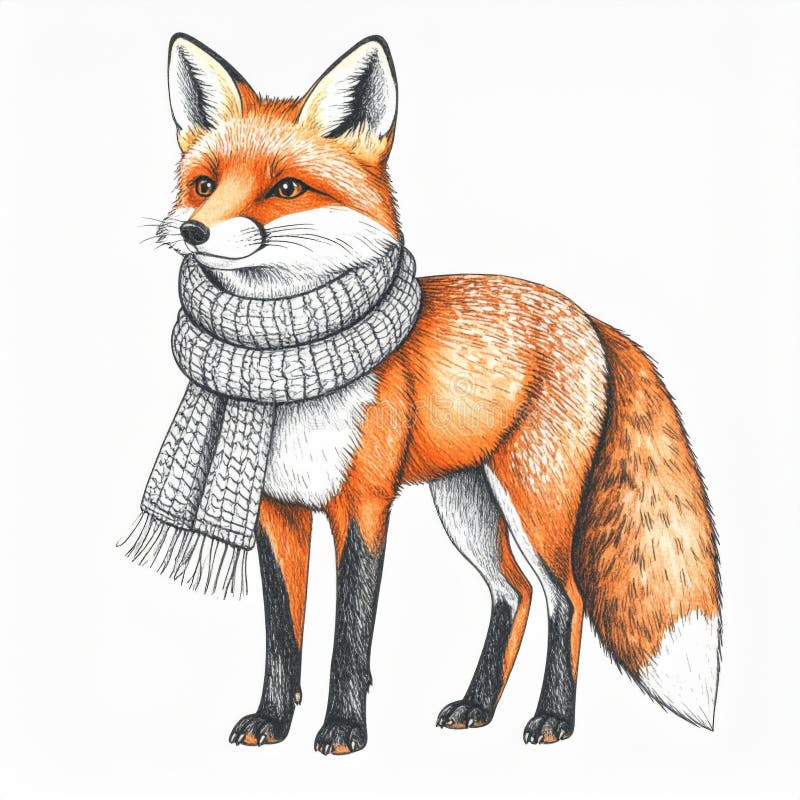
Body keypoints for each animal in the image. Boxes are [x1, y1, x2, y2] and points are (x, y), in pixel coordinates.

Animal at [152, 32, 721, 755]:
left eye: (286, 188)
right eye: (205, 184)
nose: (193, 229)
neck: (285, 370)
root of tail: (590, 319)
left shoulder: (364, 504)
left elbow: (349, 636)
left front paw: (343, 729)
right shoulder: (275, 510)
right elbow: (284, 635)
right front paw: (272, 721)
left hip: (535, 501)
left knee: (565, 599)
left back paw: (554, 720)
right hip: (465, 501)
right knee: (514, 594)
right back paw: (478, 705)